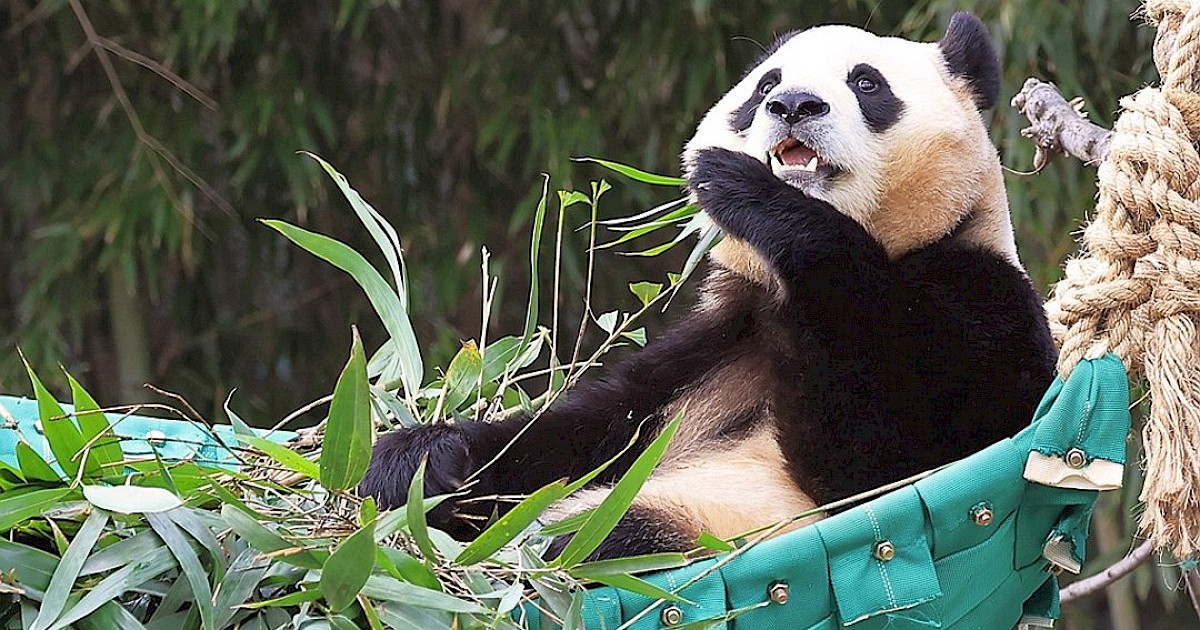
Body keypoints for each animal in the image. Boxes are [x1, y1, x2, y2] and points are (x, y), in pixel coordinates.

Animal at [359, 11, 1057, 561]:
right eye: (765, 86)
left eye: (867, 82)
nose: (794, 106)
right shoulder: (719, 342)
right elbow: (590, 434)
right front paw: (418, 459)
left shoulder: (980, 303)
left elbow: (885, 463)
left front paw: (750, 193)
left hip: (697, 528)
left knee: (607, 543)